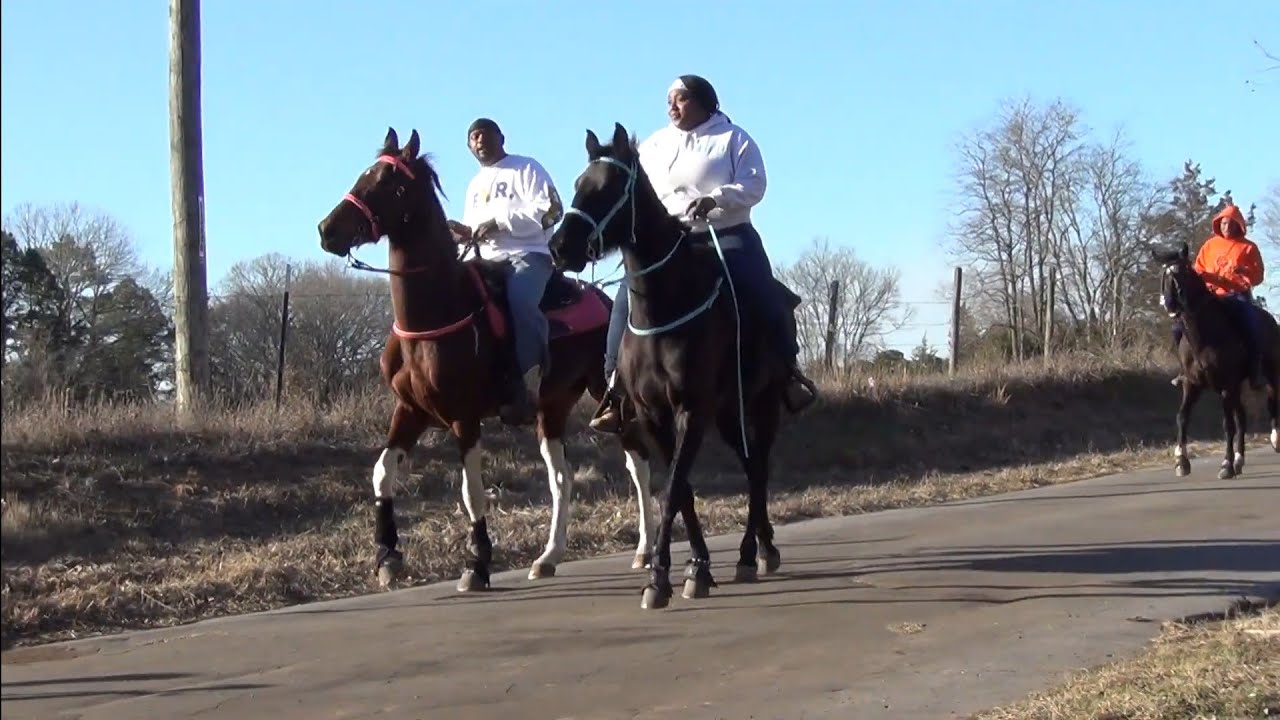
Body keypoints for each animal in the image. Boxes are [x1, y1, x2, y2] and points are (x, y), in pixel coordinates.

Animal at [316, 127, 658, 592]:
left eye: (388, 182)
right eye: (365, 173)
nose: (327, 230)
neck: (438, 311)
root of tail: (607, 300)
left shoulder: (465, 417)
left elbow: (472, 491)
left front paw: (476, 564)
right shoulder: (410, 411)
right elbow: (382, 473)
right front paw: (387, 556)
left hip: (610, 398)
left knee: (638, 465)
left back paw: (645, 549)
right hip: (551, 408)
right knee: (561, 478)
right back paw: (548, 557)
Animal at [548, 122, 802, 610]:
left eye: (610, 187)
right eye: (577, 184)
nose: (559, 247)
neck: (666, 304)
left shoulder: (691, 409)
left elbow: (673, 491)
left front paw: (664, 577)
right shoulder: (654, 415)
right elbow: (680, 491)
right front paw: (692, 568)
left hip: (761, 404)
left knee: (758, 468)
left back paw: (756, 552)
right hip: (729, 412)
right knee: (750, 466)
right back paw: (755, 550)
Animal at [1154, 241, 1280, 479]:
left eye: (1184, 270)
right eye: (1164, 274)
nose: (1170, 303)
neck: (1203, 336)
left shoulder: (1226, 386)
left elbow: (1227, 425)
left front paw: (1226, 466)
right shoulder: (1192, 384)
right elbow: (1182, 417)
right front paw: (1181, 462)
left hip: (1269, 377)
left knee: (1270, 404)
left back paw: (1273, 441)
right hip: (1238, 387)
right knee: (1242, 418)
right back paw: (1240, 460)